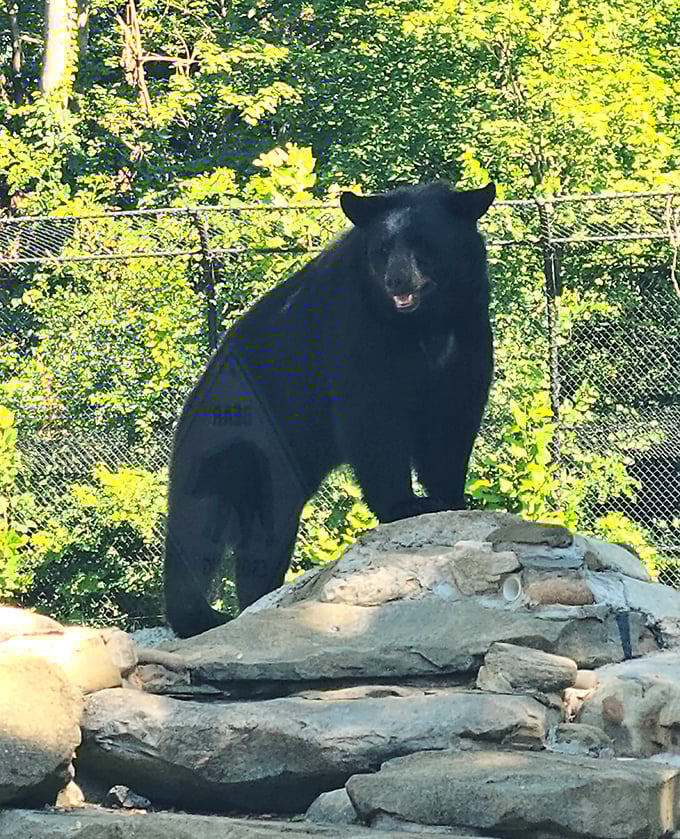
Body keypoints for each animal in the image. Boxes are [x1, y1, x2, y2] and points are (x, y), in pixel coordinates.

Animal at [165, 180, 496, 637]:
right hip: (228, 446)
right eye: (382, 249)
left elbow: (452, 423)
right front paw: (405, 505)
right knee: (197, 528)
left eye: (423, 245)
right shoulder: (359, 336)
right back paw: (199, 616)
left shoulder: (467, 338)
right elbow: (373, 422)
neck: (424, 323)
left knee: (263, 543)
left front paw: (450, 498)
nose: (396, 279)